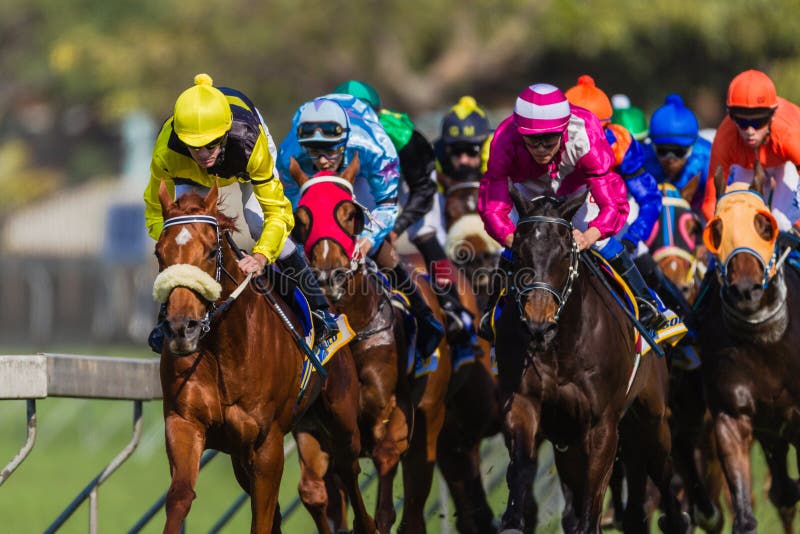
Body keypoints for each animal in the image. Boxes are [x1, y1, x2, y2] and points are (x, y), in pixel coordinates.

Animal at [153, 181, 372, 533]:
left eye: (210, 252)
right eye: (159, 254)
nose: (180, 328)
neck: (222, 349)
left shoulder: (267, 445)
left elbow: (263, 518)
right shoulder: (184, 423)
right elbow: (180, 498)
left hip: (342, 422)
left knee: (351, 480)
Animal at [289, 156, 452, 533]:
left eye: (350, 213)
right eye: (301, 219)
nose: (329, 276)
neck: (353, 333)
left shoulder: (394, 417)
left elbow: (385, 481)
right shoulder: (311, 426)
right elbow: (313, 491)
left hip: (431, 417)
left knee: (413, 508)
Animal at [495, 187, 689, 534]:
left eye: (564, 255)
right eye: (517, 253)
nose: (538, 324)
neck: (561, 345)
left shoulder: (602, 424)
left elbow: (594, 496)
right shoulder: (524, 401)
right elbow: (521, 466)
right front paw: (514, 520)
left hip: (652, 415)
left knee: (661, 468)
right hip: (568, 437)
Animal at [698, 162, 800, 533]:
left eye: (764, 225)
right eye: (716, 230)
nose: (746, 291)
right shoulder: (732, 415)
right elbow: (745, 514)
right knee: (784, 492)